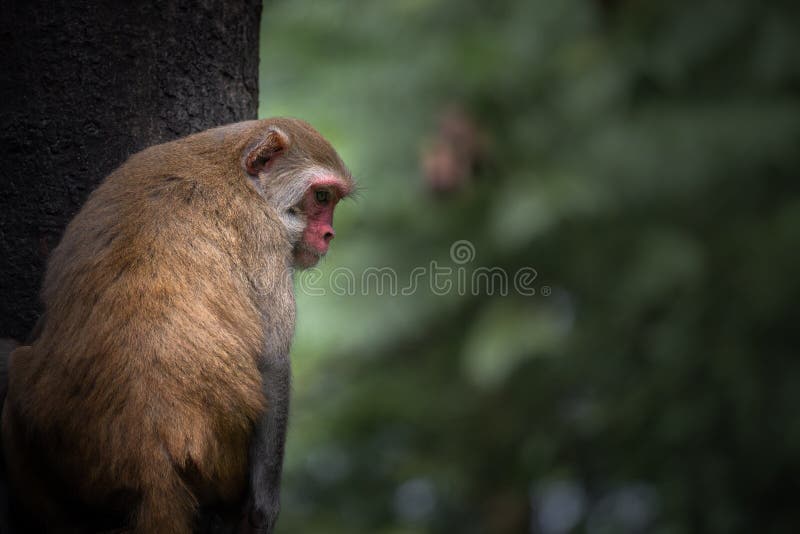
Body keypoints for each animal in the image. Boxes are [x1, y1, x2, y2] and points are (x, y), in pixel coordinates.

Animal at [1, 117, 354, 533]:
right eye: (322, 197)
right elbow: (273, 360)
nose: (329, 235)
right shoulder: (265, 237)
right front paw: (264, 507)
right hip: (222, 465)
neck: (232, 168)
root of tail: (151, 466)